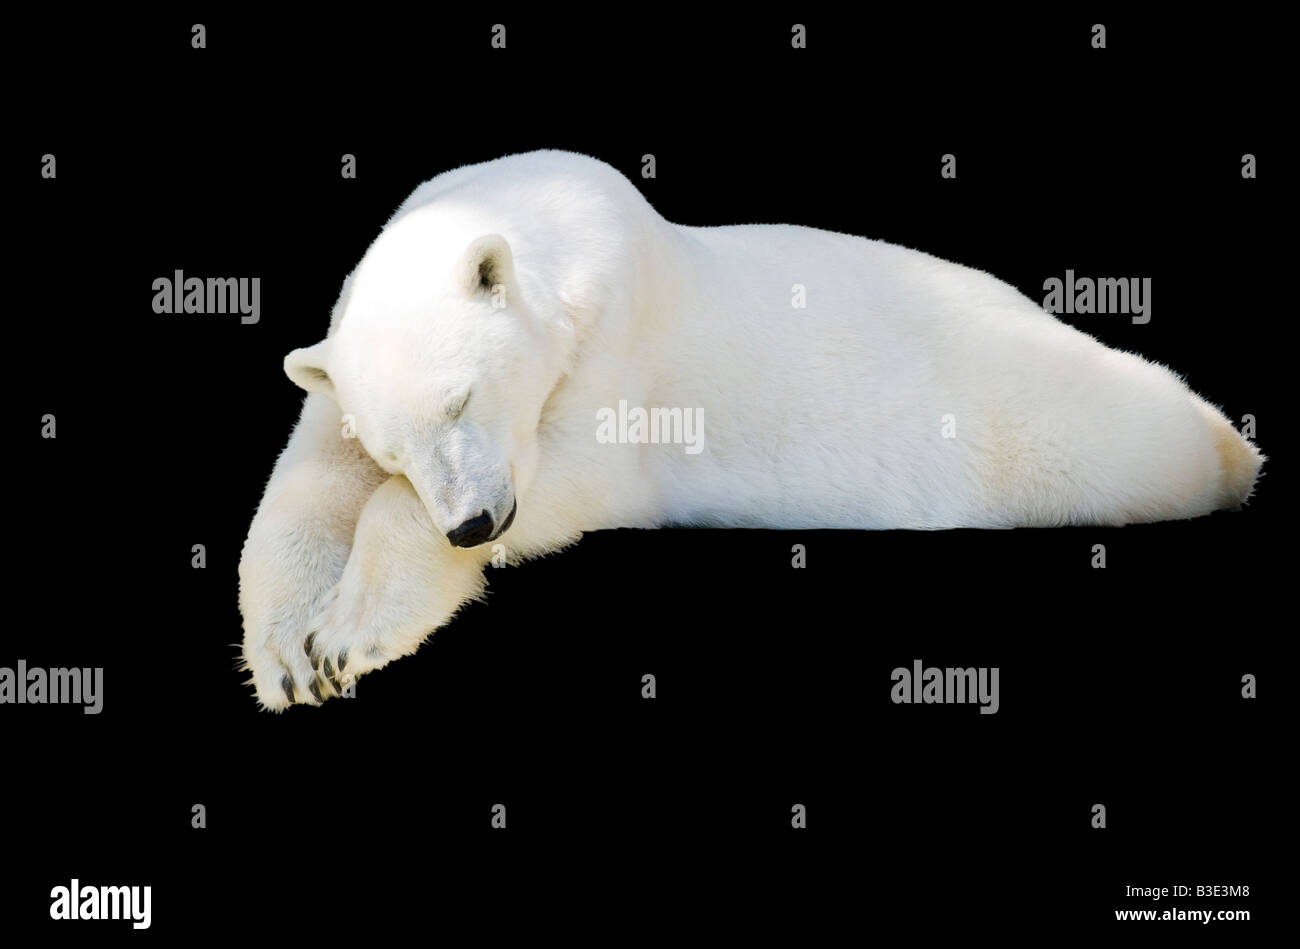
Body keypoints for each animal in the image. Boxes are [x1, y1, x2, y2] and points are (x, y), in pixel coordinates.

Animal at [238, 149, 1264, 709]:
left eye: (461, 400)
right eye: (393, 446)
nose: (471, 523)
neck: (543, 214)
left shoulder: (622, 346)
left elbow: (576, 474)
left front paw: (351, 631)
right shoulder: (340, 375)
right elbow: (310, 482)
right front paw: (292, 654)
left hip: (1032, 415)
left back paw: (1230, 446)